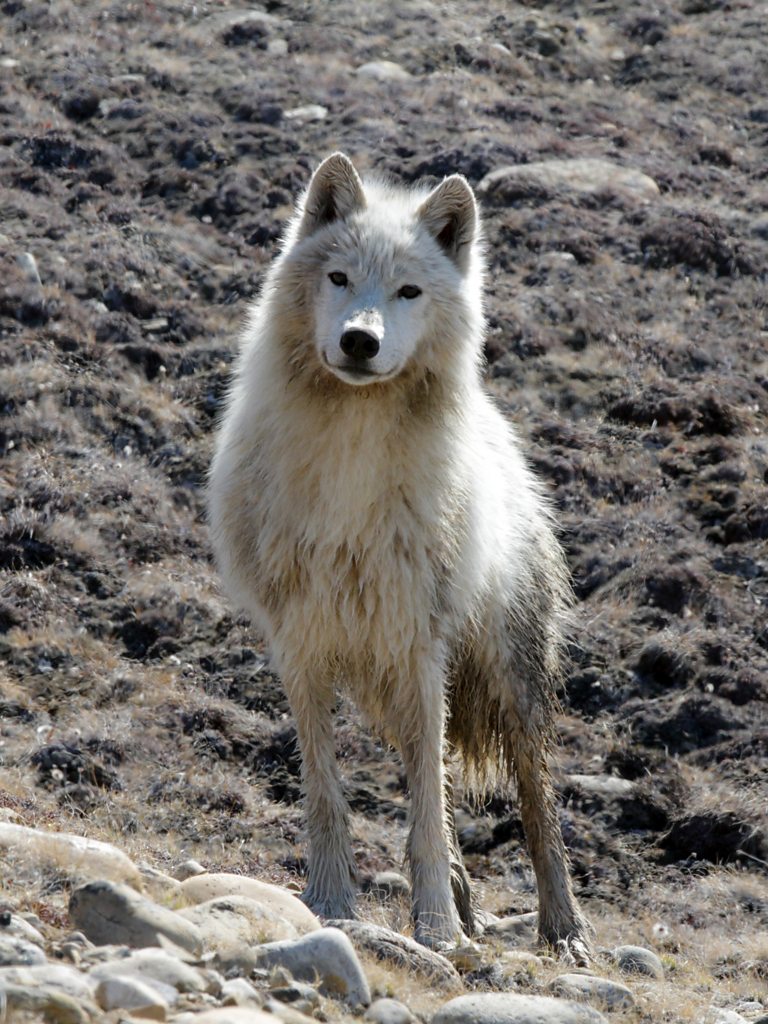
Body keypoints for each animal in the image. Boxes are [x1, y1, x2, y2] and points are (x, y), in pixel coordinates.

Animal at [208, 152, 592, 959]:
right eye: (340, 278)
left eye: (408, 291)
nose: (360, 340)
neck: (352, 459)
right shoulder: (301, 645)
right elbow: (330, 796)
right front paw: (332, 902)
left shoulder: (420, 644)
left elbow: (425, 816)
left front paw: (437, 928)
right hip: (392, 689)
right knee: (438, 786)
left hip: (503, 679)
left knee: (534, 806)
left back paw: (564, 931)